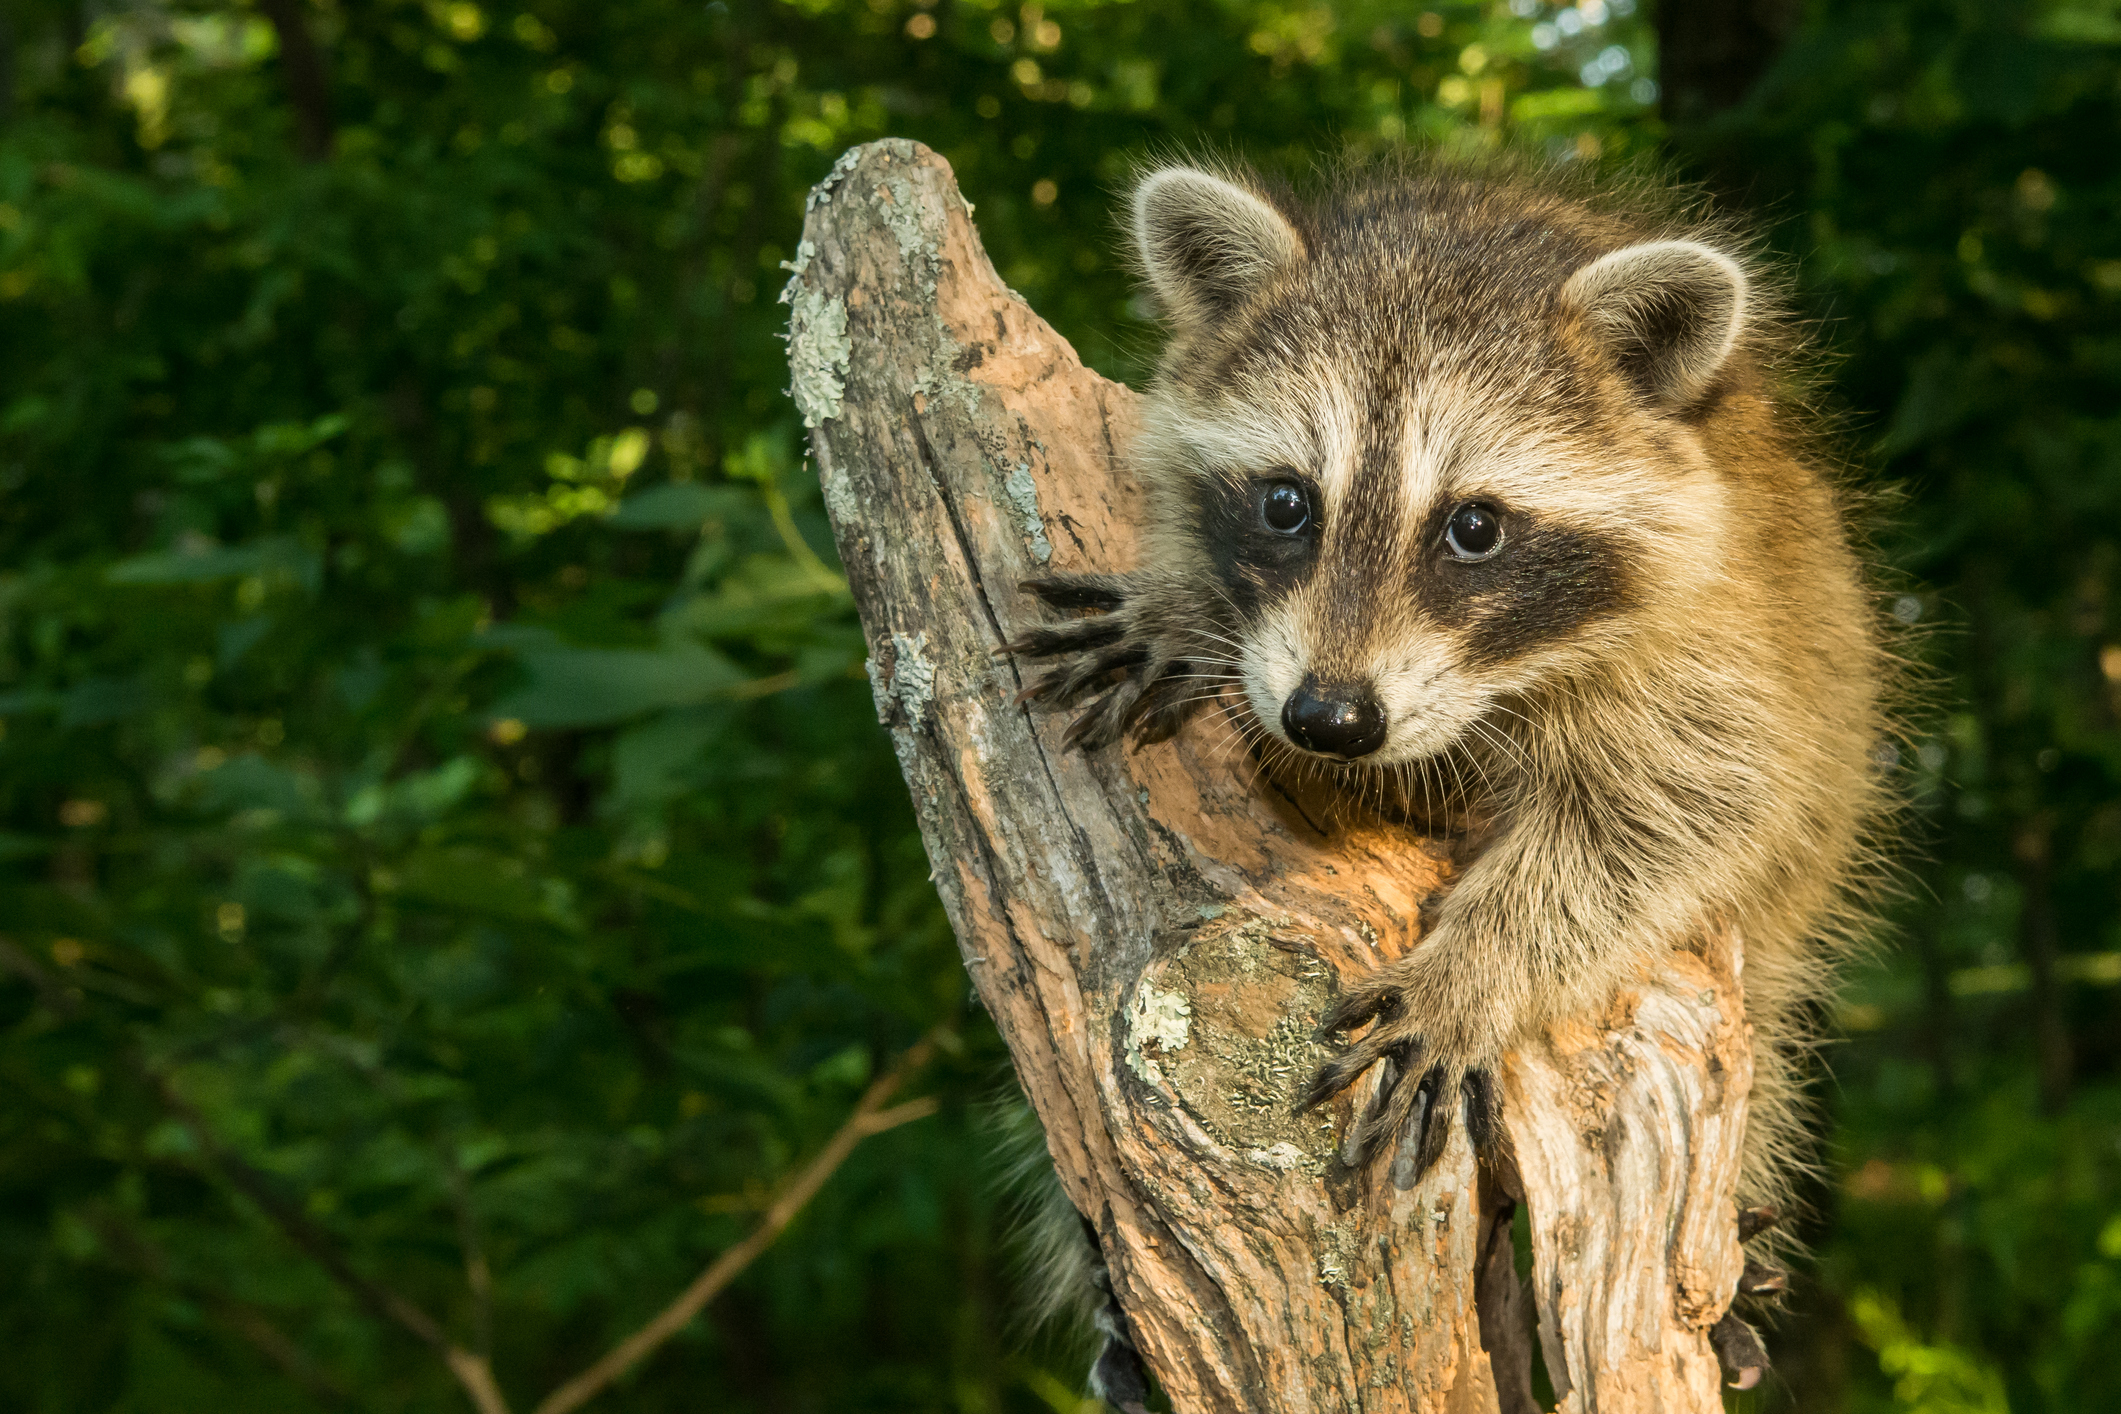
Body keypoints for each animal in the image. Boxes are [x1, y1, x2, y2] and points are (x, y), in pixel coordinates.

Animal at [1006, 155, 1897, 1395]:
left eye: (1474, 527)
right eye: (1287, 502)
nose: (1330, 719)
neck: (1456, 236)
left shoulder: (1719, 637)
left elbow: (1682, 809)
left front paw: (1472, 971)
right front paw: (1186, 611)